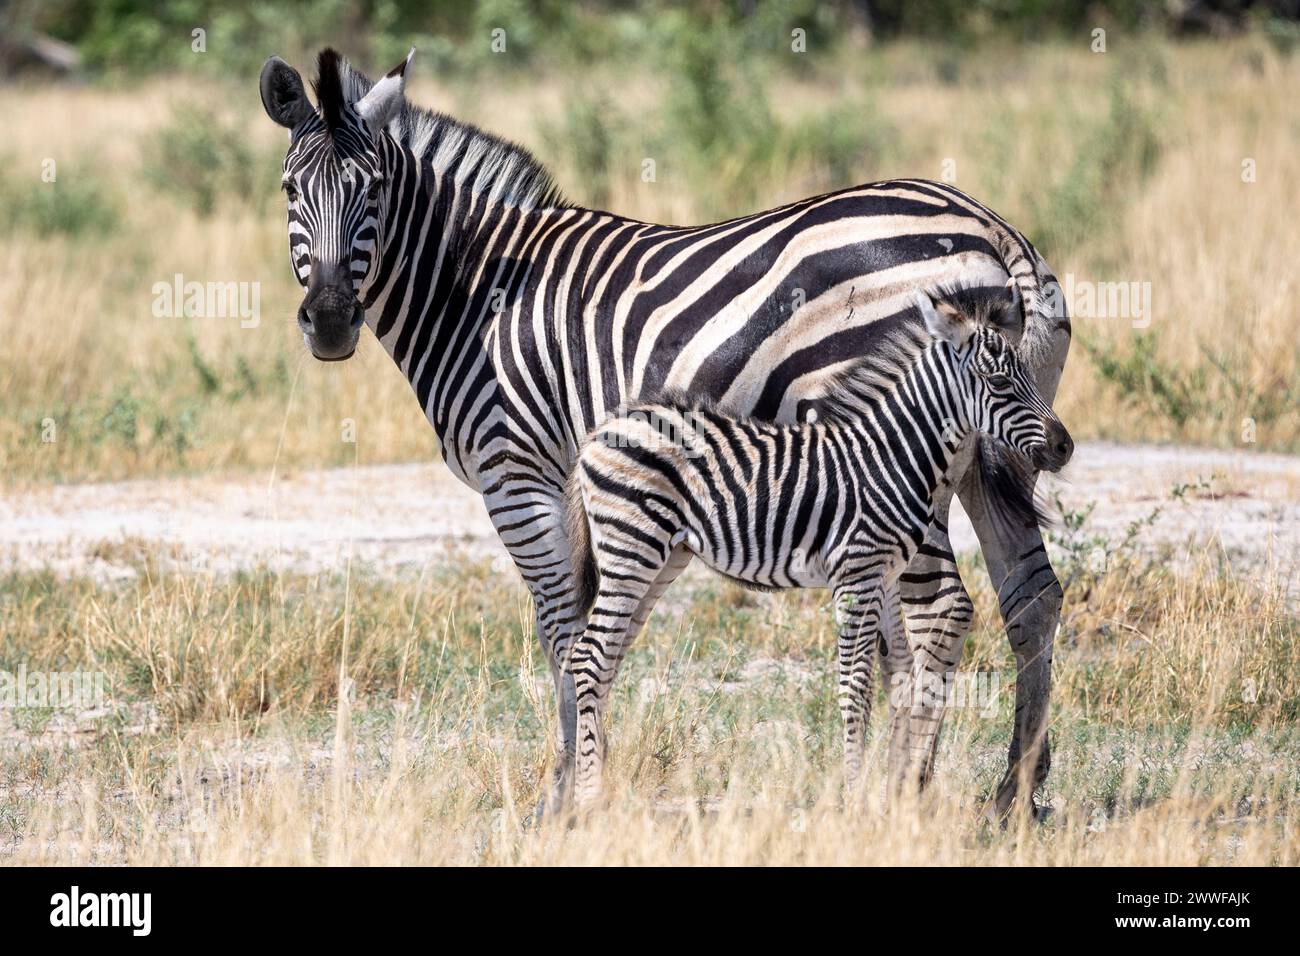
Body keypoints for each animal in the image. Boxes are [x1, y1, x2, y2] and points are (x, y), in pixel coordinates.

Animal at [564, 285, 1072, 805]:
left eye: (1028, 377)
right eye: (999, 383)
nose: (1064, 447)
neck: (892, 455)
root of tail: (602, 431)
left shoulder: (881, 576)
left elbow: (890, 679)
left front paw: (880, 790)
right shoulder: (856, 574)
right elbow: (855, 686)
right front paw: (853, 794)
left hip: (661, 556)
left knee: (605, 659)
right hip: (631, 548)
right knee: (590, 657)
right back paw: (587, 799)